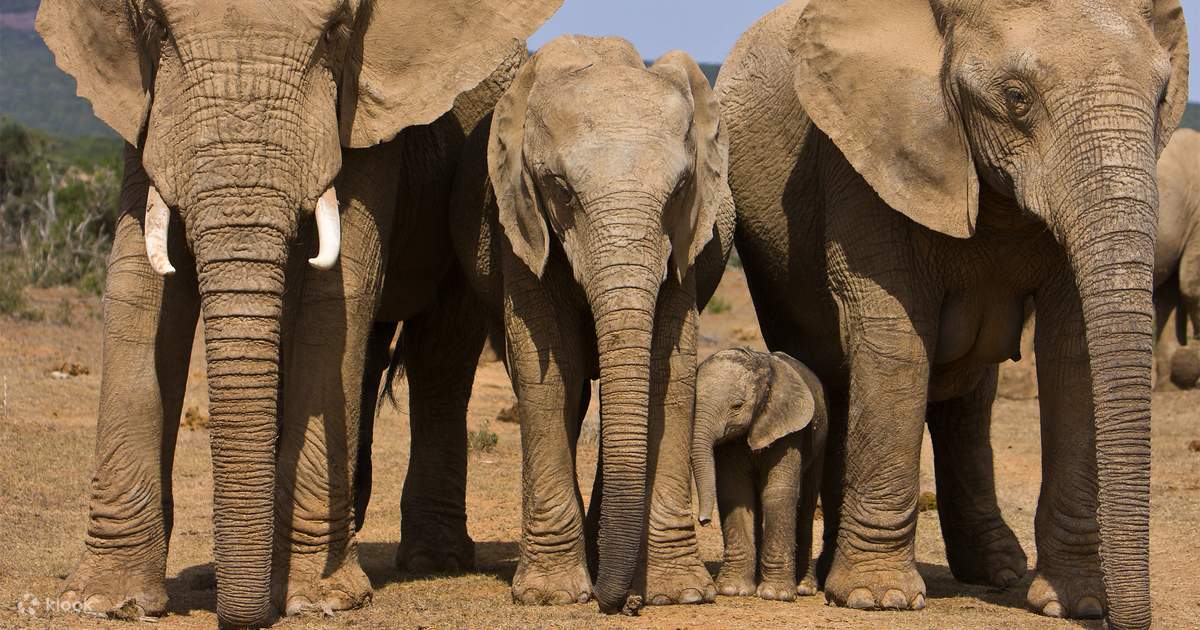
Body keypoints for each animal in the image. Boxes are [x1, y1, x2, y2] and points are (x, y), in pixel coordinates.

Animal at [36, 0, 560, 625]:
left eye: (337, 30)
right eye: (154, 27)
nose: (239, 615)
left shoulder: (360, 112)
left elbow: (336, 296)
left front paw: (318, 598)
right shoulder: (147, 111)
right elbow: (137, 290)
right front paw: (102, 600)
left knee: (438, 361)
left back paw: (433, 559)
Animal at [451, 35, 735, 612]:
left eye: (680, 190)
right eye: (561, 190)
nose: (618, 603)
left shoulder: (685, 244)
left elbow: (670, 370)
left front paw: (680, 594)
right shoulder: (521, 223)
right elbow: (550, 369)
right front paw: (552, 595)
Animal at [689, 349, 827, 602]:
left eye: (737, 406)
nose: (703, 520)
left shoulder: (788, 429)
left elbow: (778, 492)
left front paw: (776, 594)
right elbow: (736, 492)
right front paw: (733, 590)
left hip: (820, 443)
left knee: (806, 503)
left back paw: (804, 588)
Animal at [716, 0, 1188, 628]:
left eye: (1161, 98)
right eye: (1016, 97)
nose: (1122, 618)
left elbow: (1073, 347)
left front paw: (1075, 603)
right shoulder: (863, 157)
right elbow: (894, 337)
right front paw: (879, 598)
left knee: (967, 402)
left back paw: (997, 571)